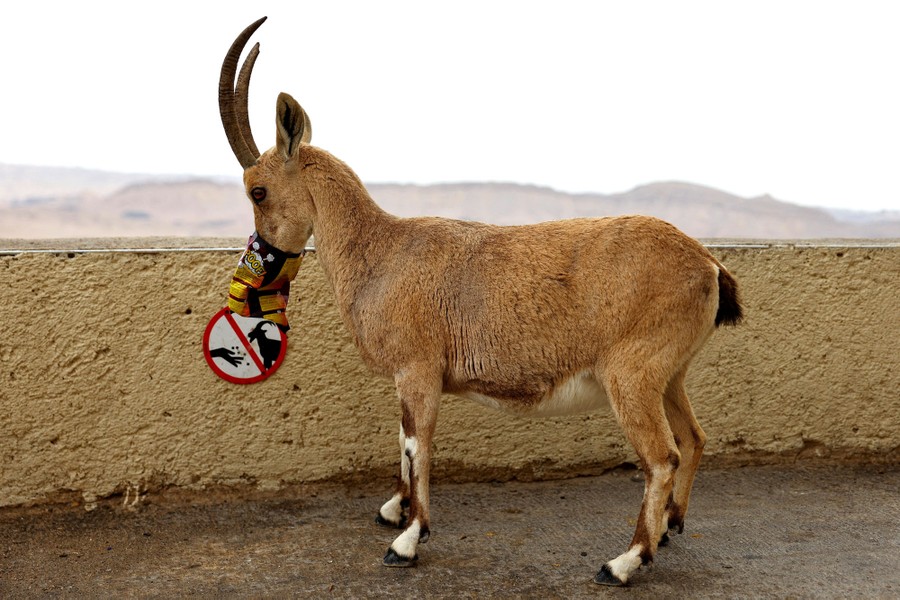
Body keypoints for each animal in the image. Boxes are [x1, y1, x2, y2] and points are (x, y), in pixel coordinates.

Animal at [218, 17, 743, 586]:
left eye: (258, 191)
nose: (257, 266)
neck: (381, 254)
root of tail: (708, 265)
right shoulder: (412, 376)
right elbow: (403, 441)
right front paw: (394, 509)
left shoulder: (419, 369)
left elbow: (417, 445)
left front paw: (408, 539)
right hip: (670, 373)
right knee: (694, 437)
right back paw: (669, 528)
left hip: (632, 373)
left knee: (663, 456)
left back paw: (624, 561)